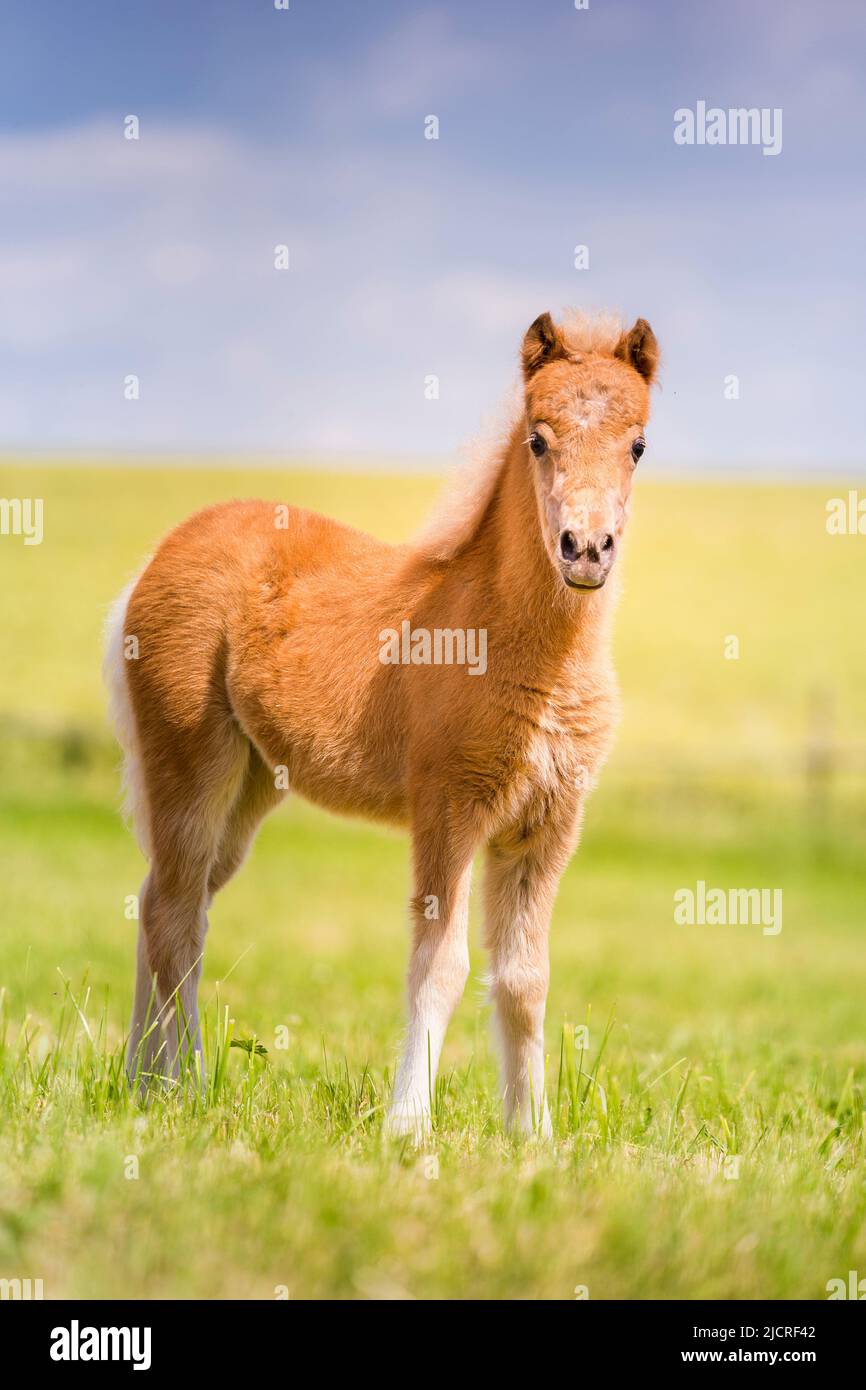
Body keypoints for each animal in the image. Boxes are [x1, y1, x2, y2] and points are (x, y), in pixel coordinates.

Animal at [104, 308, 659, 1138]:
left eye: (638, 445)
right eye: (538, 438)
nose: (586, 549)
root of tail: (157, 555)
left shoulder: (548, 825)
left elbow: (524, 978)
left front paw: (533, 1135)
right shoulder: (448, 810)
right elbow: (442, 965)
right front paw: (408, 1126)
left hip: (250, 786)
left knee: (162, 898)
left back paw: (142, 1083)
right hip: (190, 764)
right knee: (176, 921)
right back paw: (187, 1085)